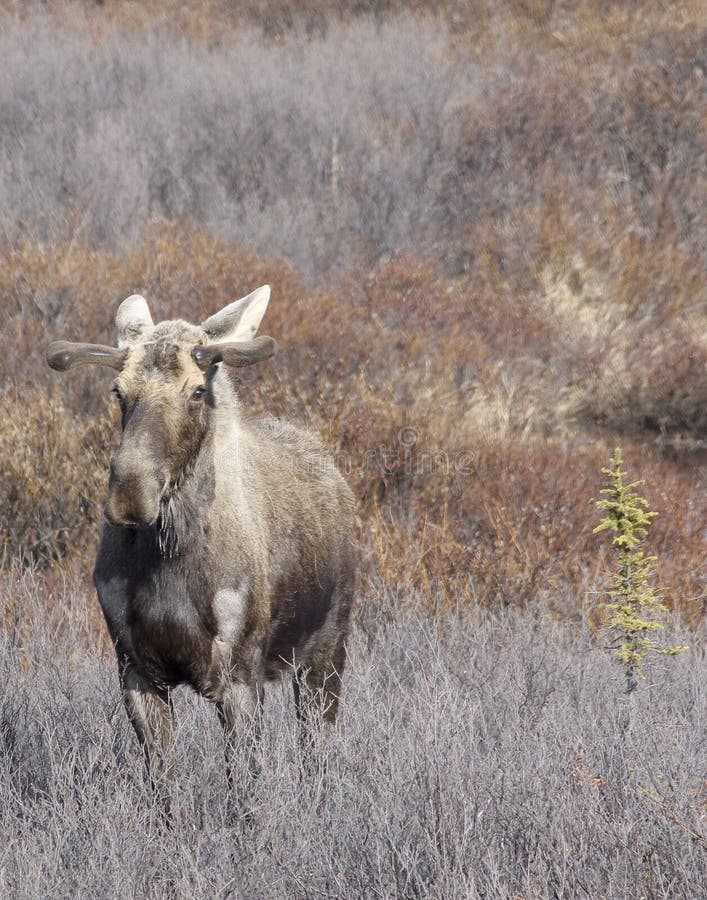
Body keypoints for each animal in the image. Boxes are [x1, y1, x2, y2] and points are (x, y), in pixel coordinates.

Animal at [46, 286, 356, 815]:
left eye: (196, 391)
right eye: (118, 392)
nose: (130, 493)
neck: (170, 556)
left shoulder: (239, 677)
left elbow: (244, 794)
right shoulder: (136, 671)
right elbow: (166, 792)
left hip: (325, 655)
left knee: (317, 754)